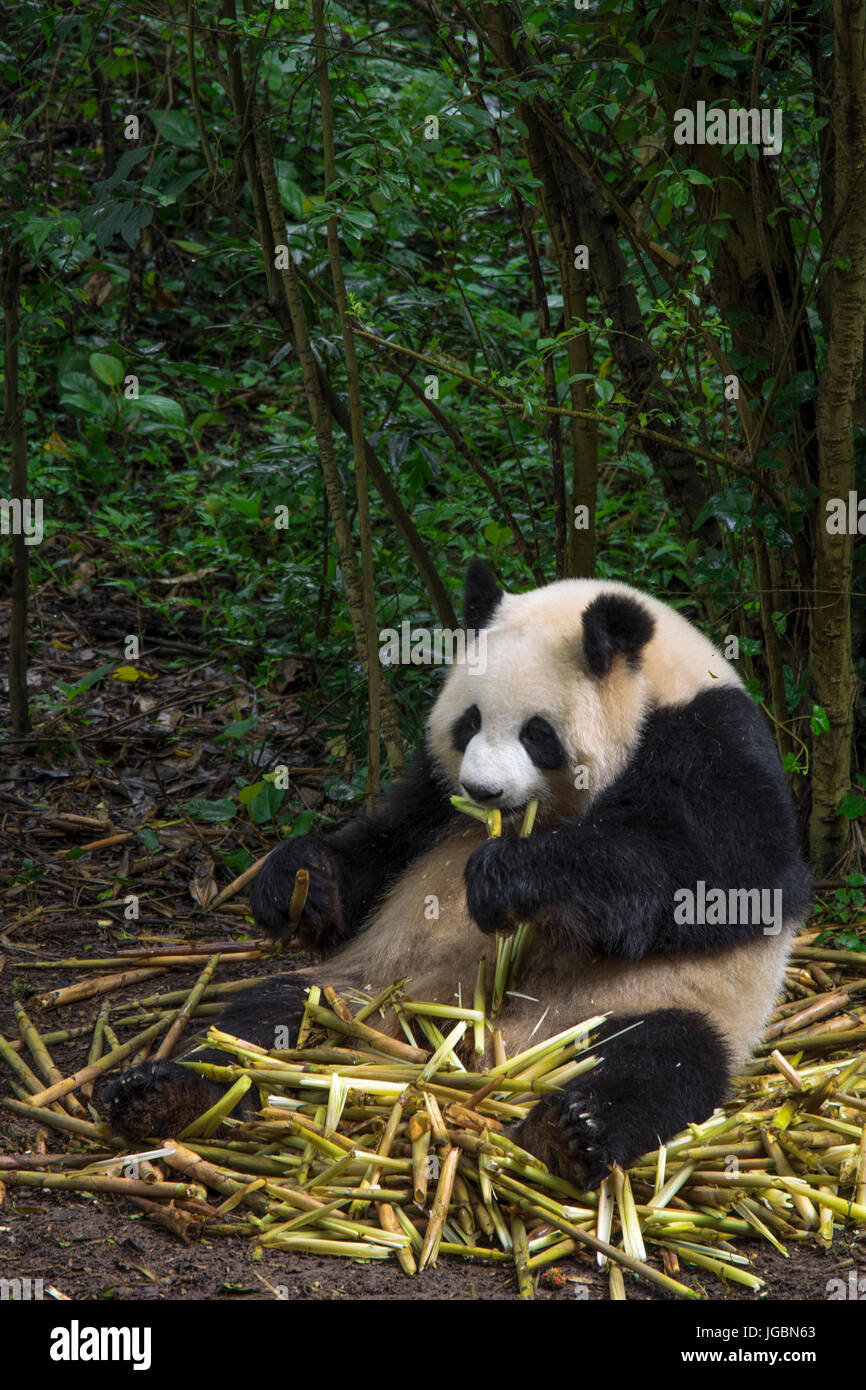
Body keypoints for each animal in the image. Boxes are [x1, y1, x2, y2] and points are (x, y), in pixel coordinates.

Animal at [102, 560, 811, 1188]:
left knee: (657, 1060)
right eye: (469, 722)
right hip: (369, 992)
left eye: (537, 734)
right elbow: (381, 847)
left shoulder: (715, 743)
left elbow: (725, 881)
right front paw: (297, 883)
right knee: (264, 1020)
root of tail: (471, 1049)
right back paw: (164, 1093)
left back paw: (569, 1130)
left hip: (627, 1007)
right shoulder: (432, 790)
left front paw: (507, 877)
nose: (483, 790)